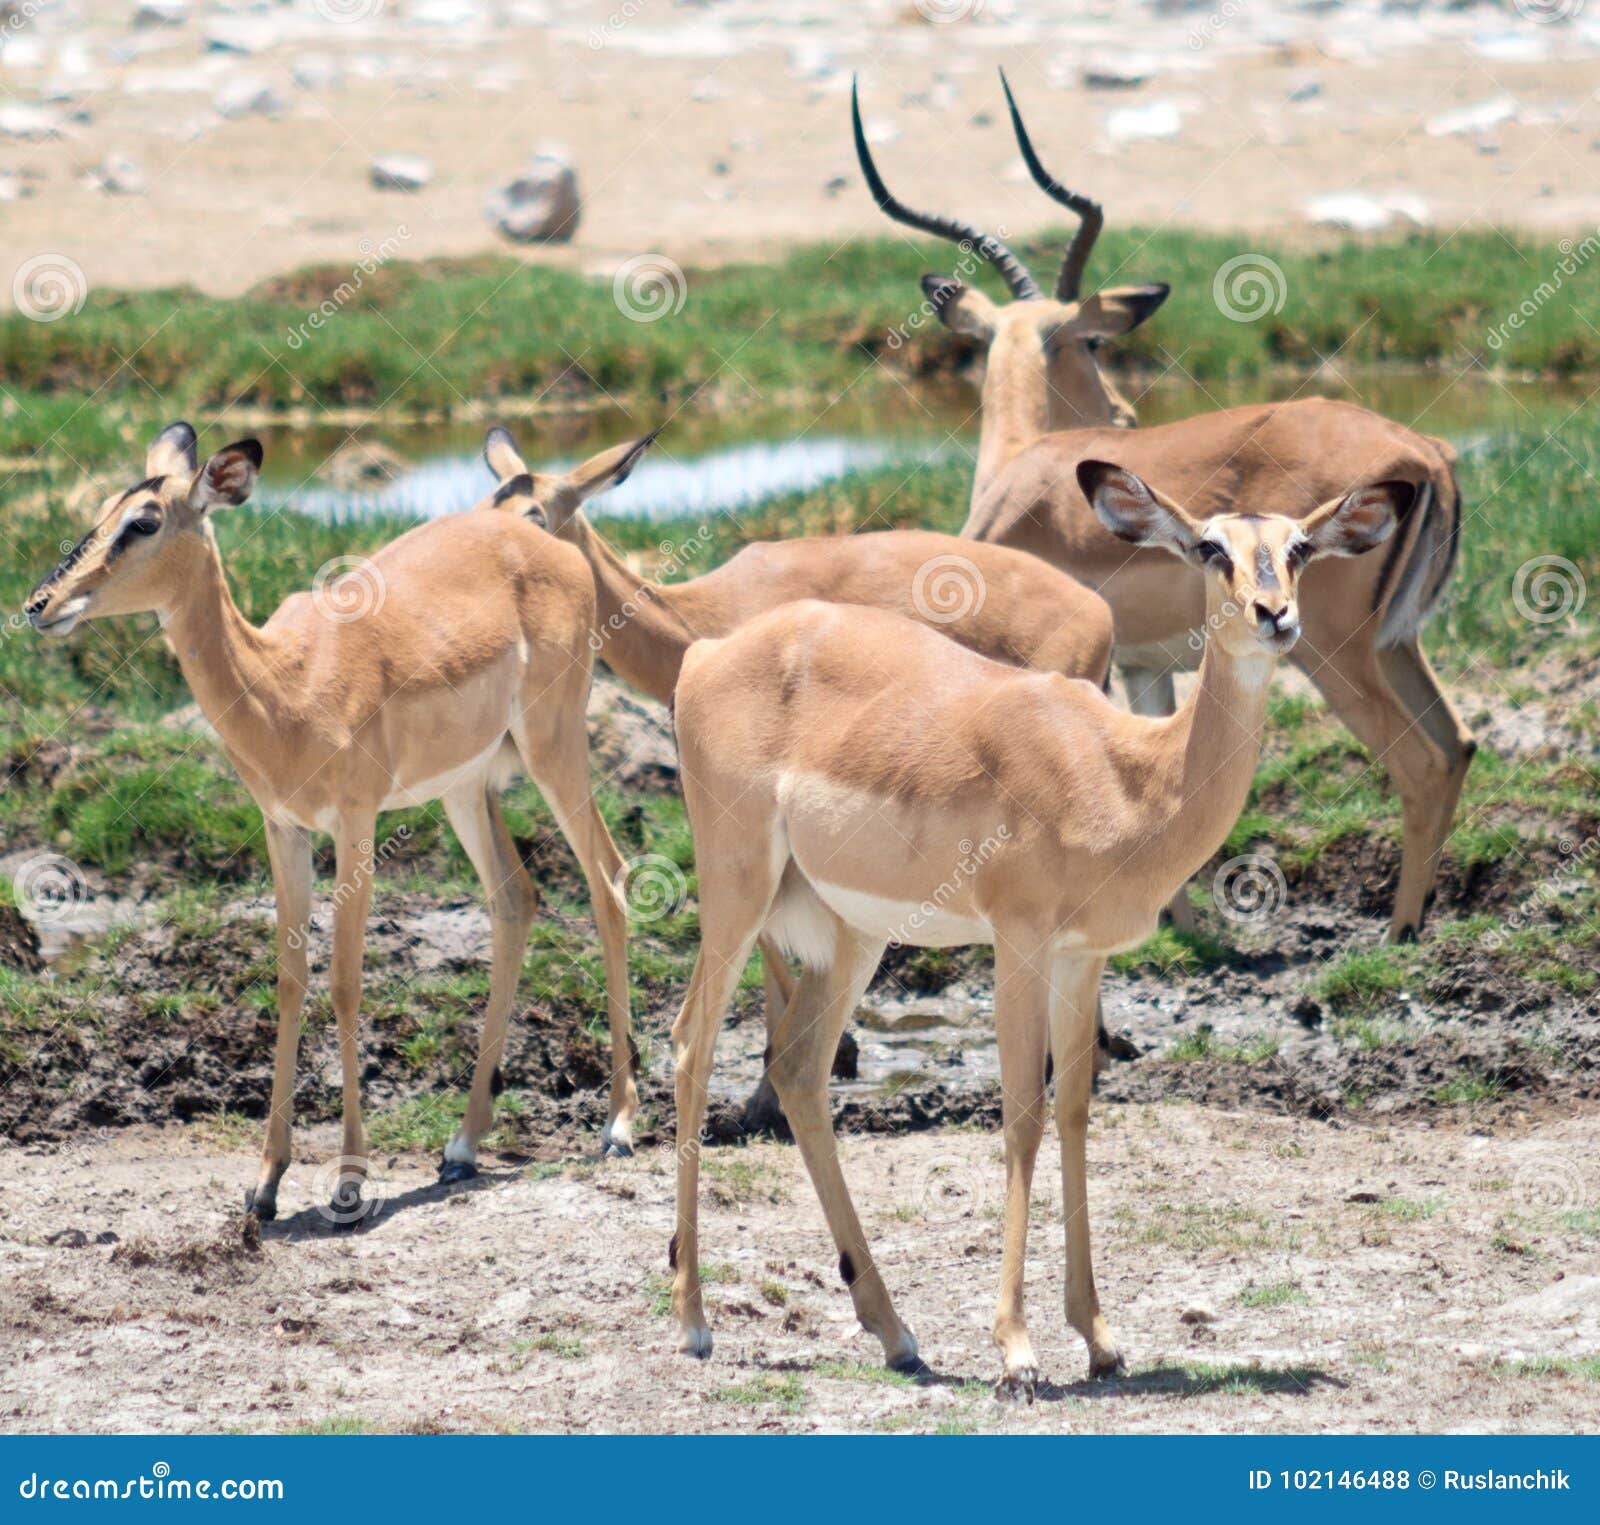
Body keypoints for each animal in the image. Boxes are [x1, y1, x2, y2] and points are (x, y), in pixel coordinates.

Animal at [24, 423, 638, 1222]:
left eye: (145, 520)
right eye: (103, 510)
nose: (40, 603)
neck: (287, 683)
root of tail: (552, 546)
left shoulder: (355, 825)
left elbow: (346, 980)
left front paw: (348, 1178)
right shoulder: (283, 829)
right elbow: (290, 978)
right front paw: (264, 1182)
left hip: (553, 748)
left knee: (610, 880)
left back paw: (618, 1127)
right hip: (465, 787)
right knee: (515, 898)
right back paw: (461, 1147)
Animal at [665, 461, 1411, 1393]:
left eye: (1299, 546)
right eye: (1211, 548)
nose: (1275, 614)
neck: (1125, 774)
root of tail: (706, 657)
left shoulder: (1082, 958)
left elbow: (1077, 1110)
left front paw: (1099, 1336)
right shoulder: (1017, 939)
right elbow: (1020, 1113)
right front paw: (1017, 1347)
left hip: (853, 934)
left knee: (798, 1070)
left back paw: (898, 1335)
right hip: (737, 892)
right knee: (691, 1044)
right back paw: (693, 1321)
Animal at [857, 75, 1476, 944]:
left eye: (1090, 340)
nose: (1120, 412)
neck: (1019, 468)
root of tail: (1425, 451)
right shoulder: (1145, 666)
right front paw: (1179, 928)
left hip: (1336, 654)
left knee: (1420, 761)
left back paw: (1400, 935)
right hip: (1395, 644)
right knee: (1458, 745)